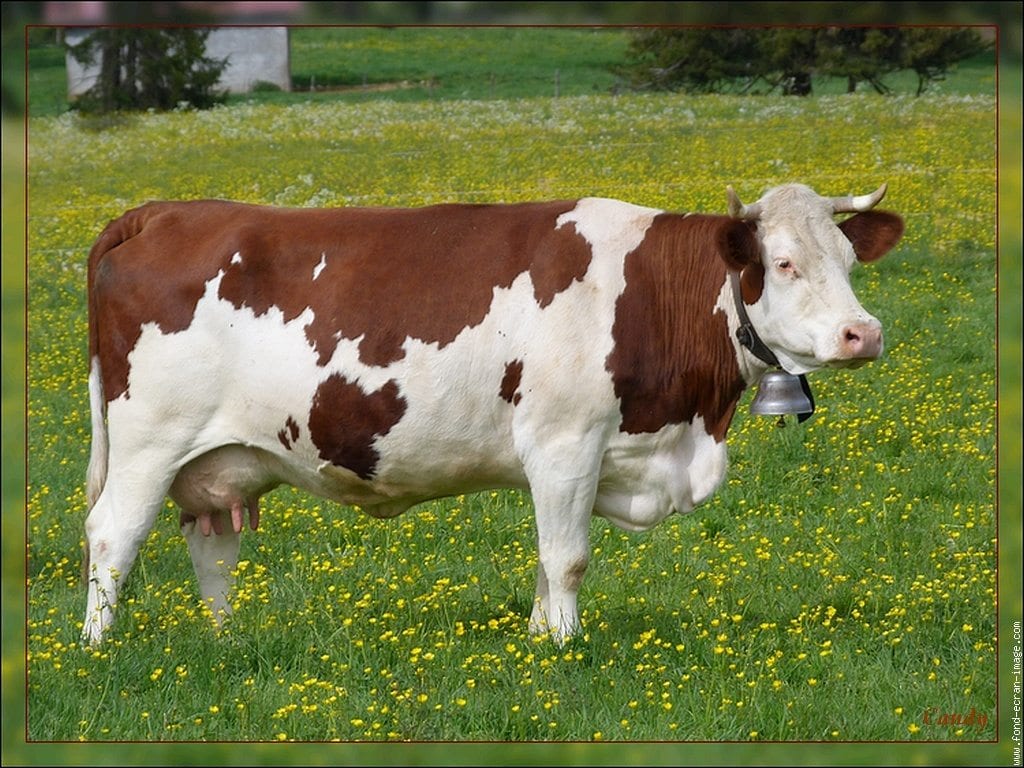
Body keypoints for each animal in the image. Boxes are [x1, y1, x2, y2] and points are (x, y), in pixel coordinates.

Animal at [81, 182, 904, 646]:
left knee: (210, 547)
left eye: (848, 261)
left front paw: (539, 640)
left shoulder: (578, 458)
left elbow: (547, 555)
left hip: (213, 458)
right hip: (149, 440)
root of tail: (165, 211)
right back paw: (98, 648)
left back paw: (226, 643)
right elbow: (568, 556)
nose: (863, 333)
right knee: (113, 535)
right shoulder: (565, 441)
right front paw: (567, 649)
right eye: (784, 263)